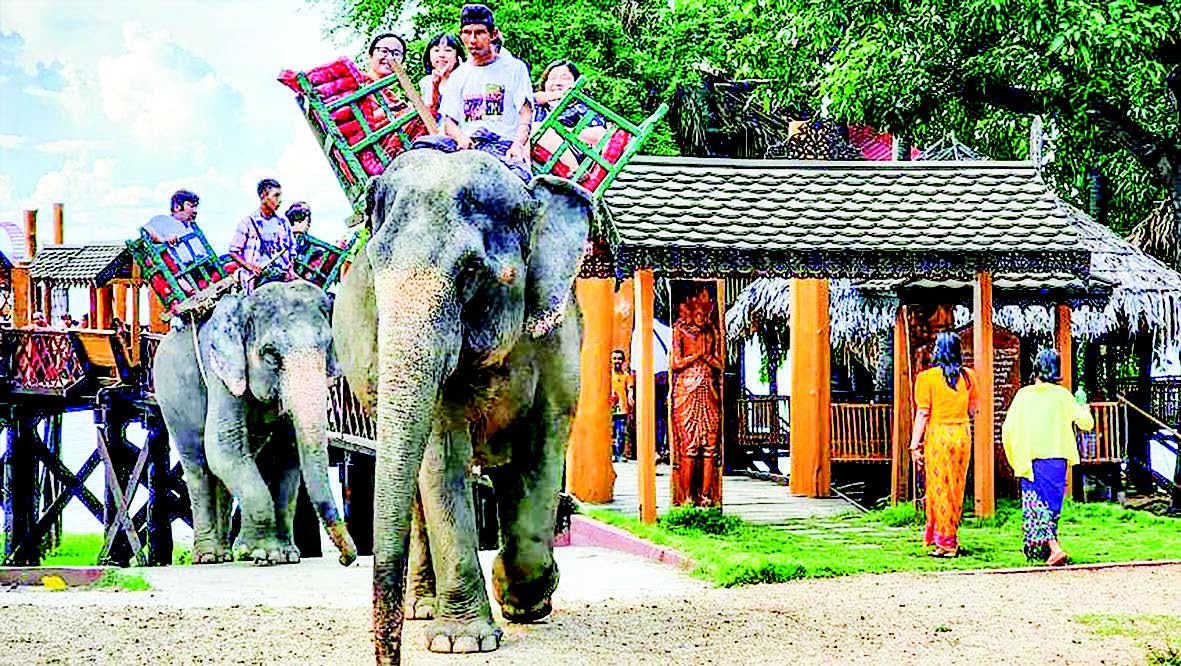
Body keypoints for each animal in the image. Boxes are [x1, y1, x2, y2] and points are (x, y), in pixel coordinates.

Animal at [154, 280, 358, 566]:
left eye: (328, 345)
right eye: (271, 354)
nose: (345, 559)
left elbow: (288, 455)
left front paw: (285, 556)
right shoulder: (222, 376)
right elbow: (222, 448)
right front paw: (262, 553)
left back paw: (225, 555)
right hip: (171, 397)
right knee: (199, 464)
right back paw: (208, 557)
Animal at [332, 149, 595, 663]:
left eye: (471, 270)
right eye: (375, 270)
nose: (388, 657)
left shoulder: (558, 345)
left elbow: (541, 451)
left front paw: (525, 602)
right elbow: (441, 459)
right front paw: (461, 642)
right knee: (416, 490)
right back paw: (422, 608)